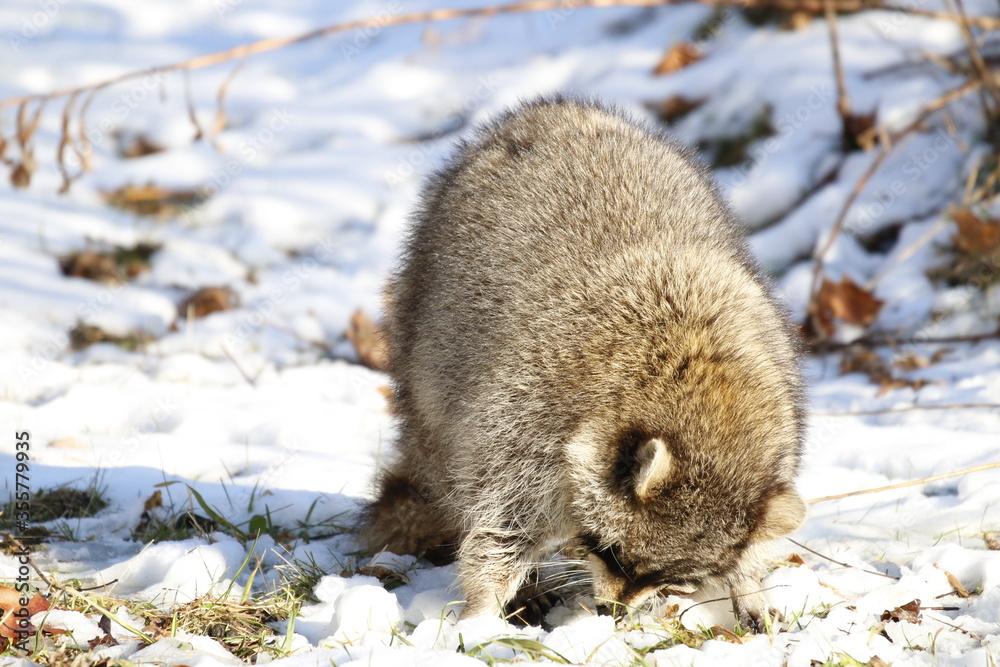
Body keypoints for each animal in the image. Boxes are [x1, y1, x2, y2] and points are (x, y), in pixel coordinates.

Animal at [364, 97, 807, 631]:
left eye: (674, 580)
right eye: (613, 553)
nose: (612, 614)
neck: (702, 379)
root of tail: (552, 110)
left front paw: (747, 581)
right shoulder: (527, 417)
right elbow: (500, 523)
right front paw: (483, 608)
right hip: (424, 341)